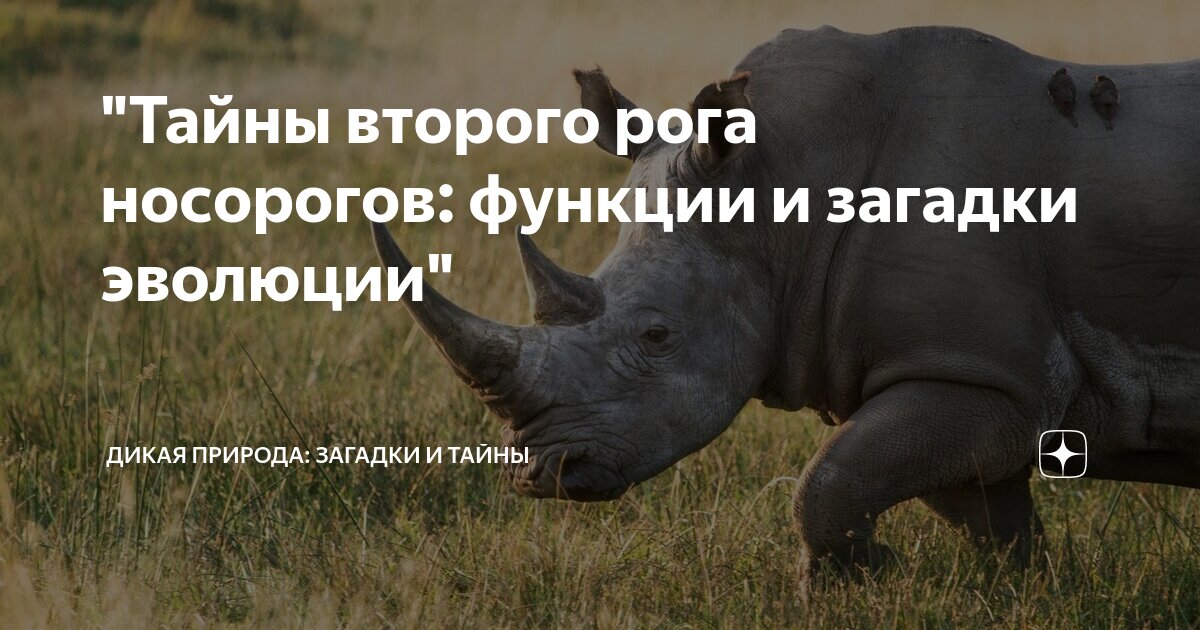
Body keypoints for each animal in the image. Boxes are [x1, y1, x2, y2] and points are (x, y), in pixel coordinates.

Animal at [371, 25, 1200, 576]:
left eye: (656, 336)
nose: (541, 474)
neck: (781, 181)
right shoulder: (964, 370)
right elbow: (983, 516)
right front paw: (1025, 591)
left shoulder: (980, 373)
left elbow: (827, 485)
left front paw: (863, 579)